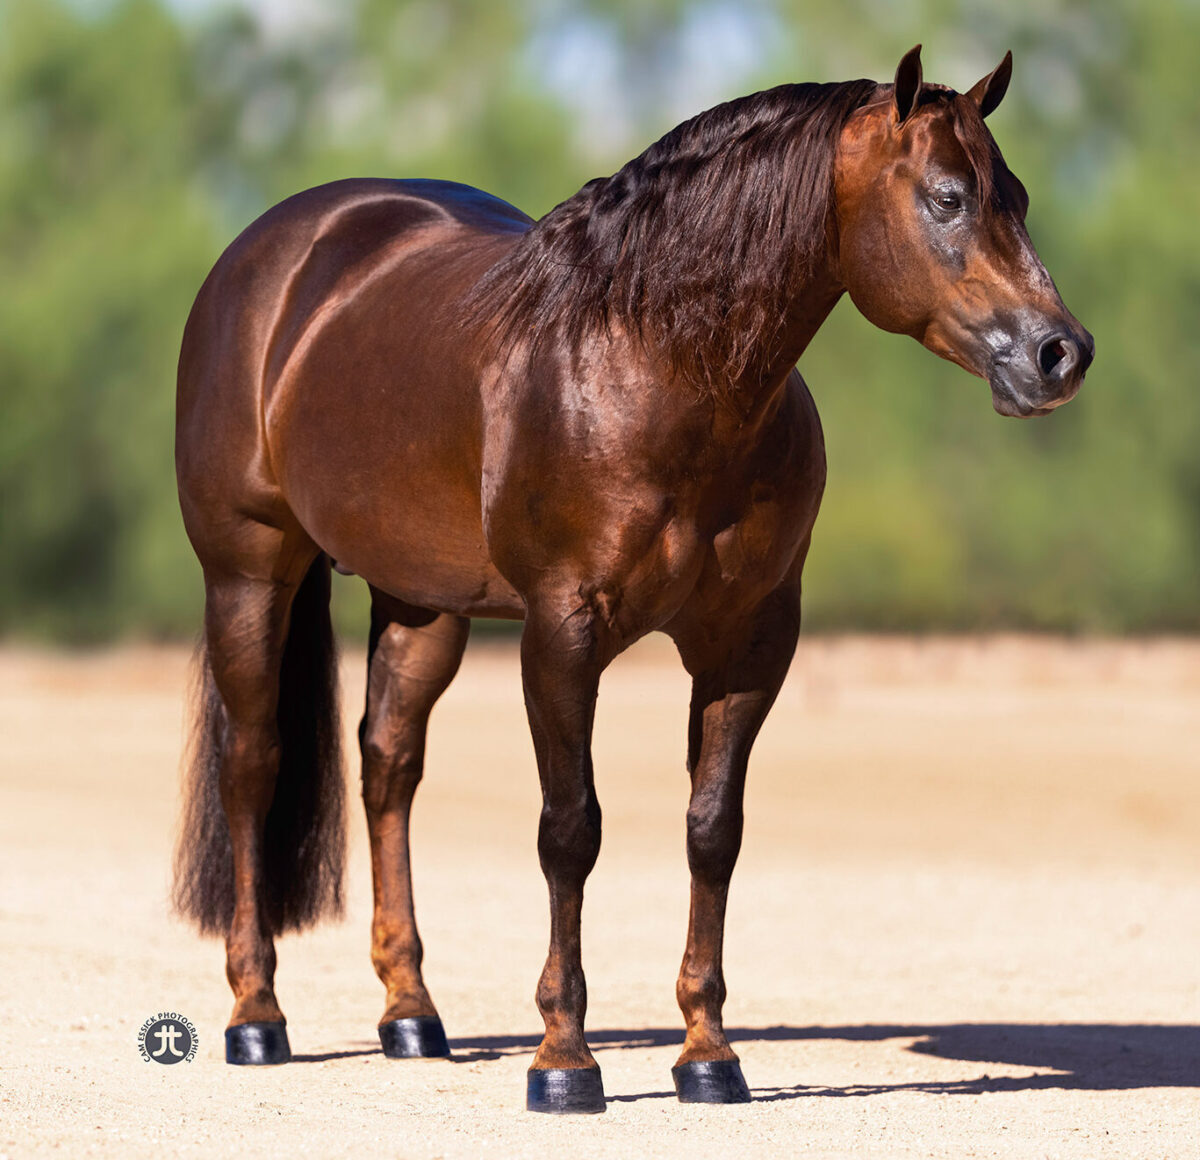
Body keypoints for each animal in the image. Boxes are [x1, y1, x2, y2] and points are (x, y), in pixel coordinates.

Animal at [173, 45, 1093, 1113]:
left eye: (1014, 195)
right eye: (947, 196)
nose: (1060, 354)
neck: (659, 367)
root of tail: (275, 252)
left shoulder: (749, 643)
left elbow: (712, 830)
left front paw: (708, 1054)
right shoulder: (562, 634)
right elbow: (571, 830)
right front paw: (564, 1060)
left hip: (422, 605)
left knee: (387, 764)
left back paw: (412, 1015)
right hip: (248, 572)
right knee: (254, 765)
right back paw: (256, 1017)